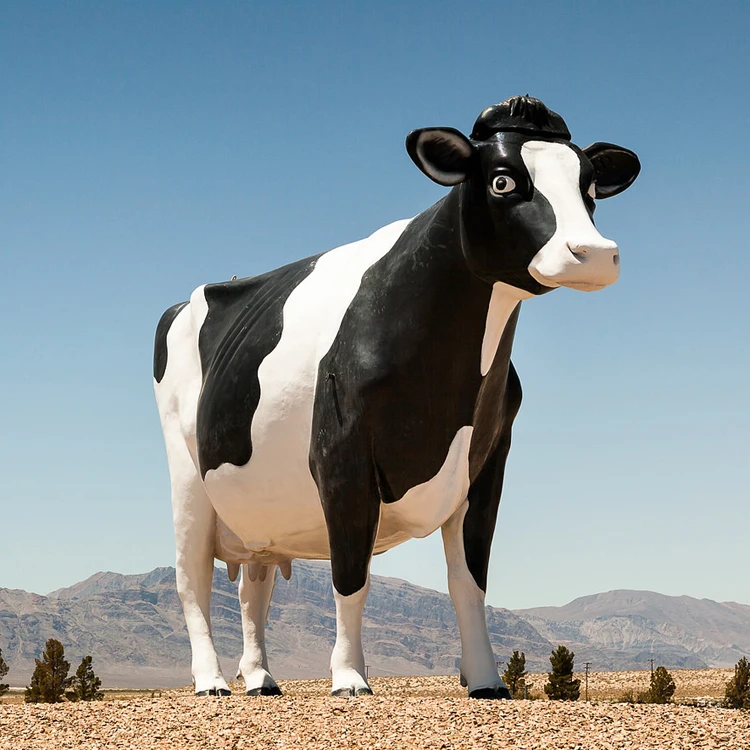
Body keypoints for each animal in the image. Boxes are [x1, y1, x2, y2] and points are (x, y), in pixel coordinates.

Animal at [154, 95, 640, 698]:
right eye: (502, 181)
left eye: (590, 186)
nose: (593, 252)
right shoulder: (341, 455)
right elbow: (350, 574)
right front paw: (348, 677)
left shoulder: (487, 462)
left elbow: (469, 580)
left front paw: (486, 680)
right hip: (186, 475)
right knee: (192, 578)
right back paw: (211, 680)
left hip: (260, 509)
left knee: (254, 585)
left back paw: (261, 678)